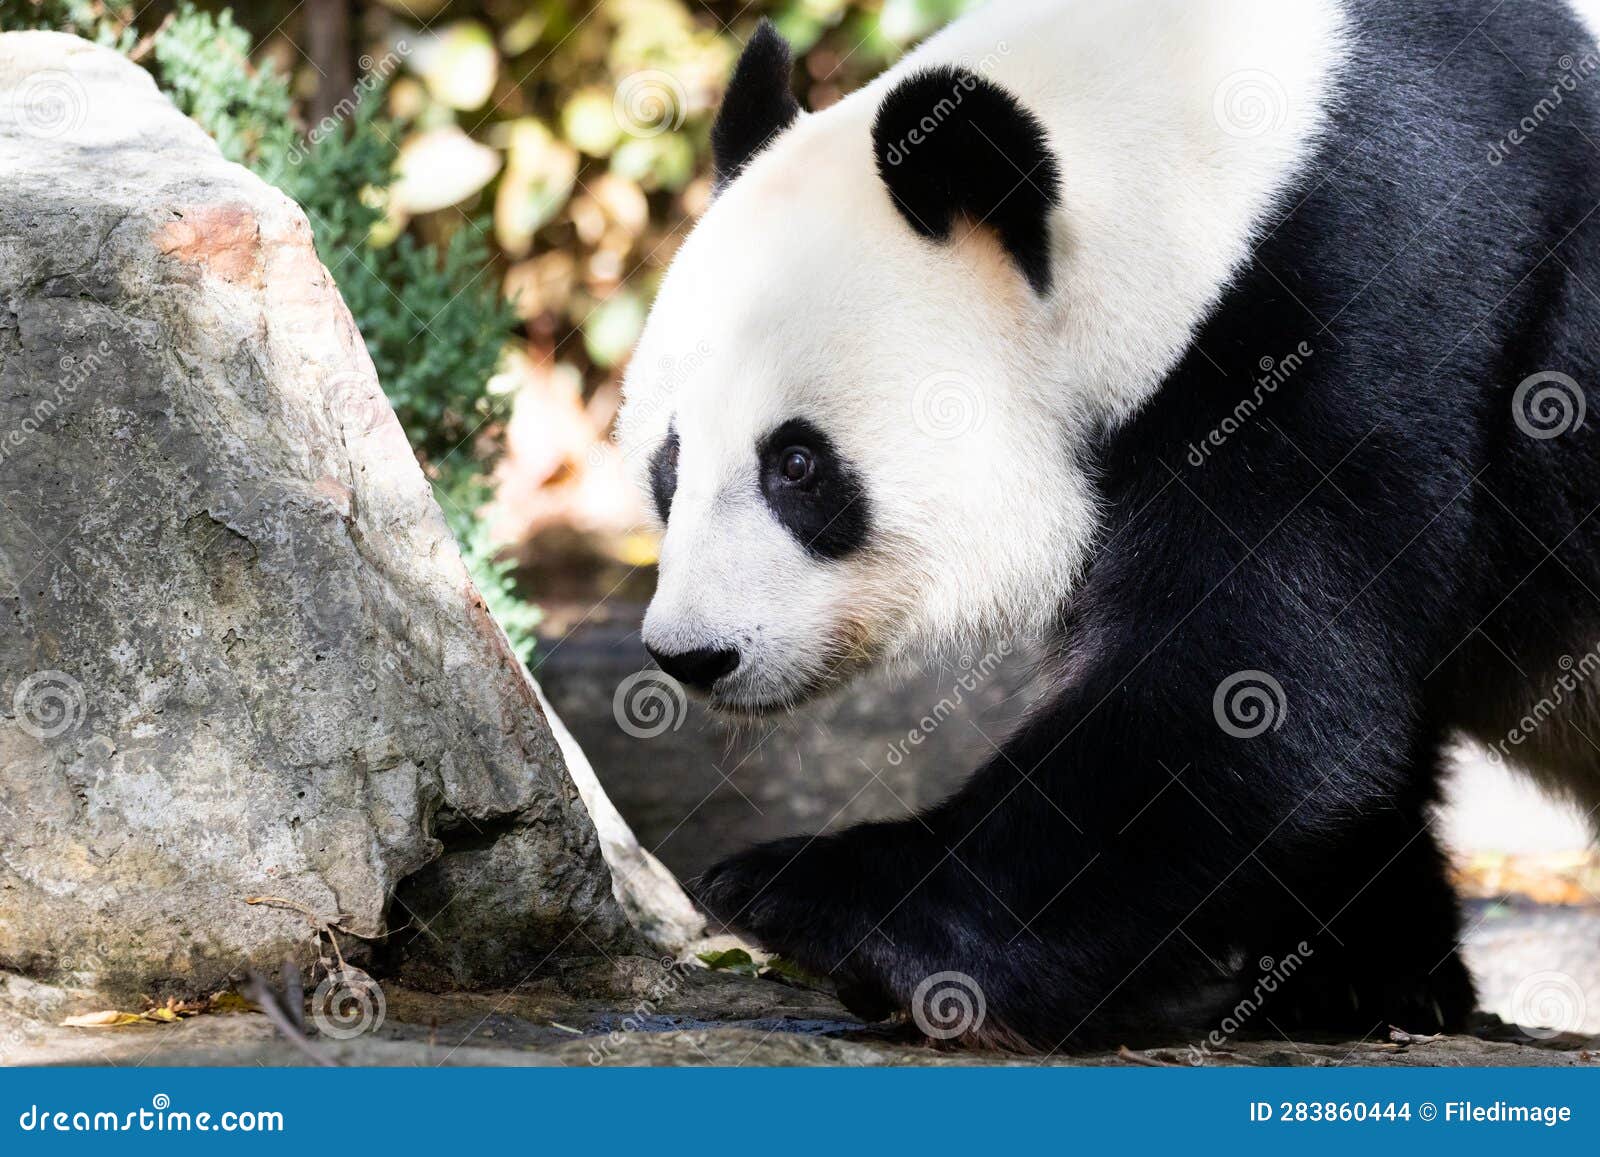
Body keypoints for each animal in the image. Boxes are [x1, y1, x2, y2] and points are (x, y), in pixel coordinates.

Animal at [618, 0, 1600, 1050]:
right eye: (669, 462)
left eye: (797, 466)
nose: (693, 654)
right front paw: (1361, 976)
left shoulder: (1381, 289)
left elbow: (1246, 695)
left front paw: (817, 903)